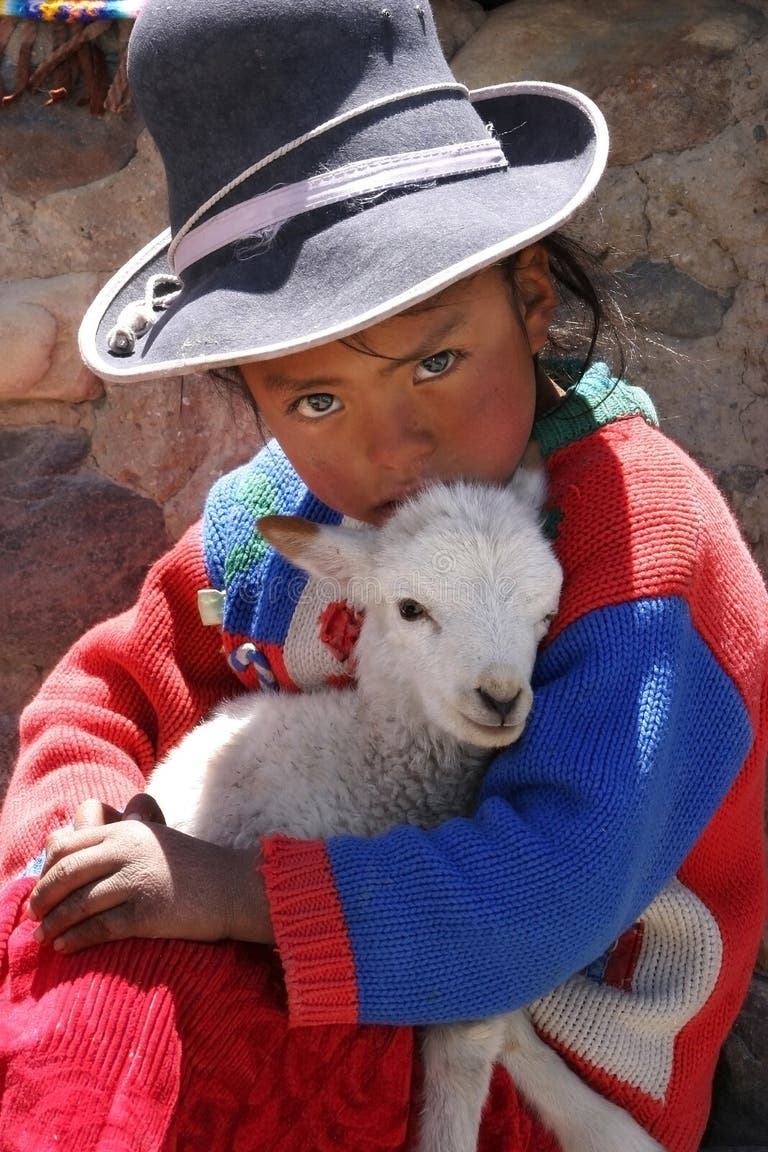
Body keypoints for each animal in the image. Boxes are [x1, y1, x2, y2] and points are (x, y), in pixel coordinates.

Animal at [147, 472, 662, 1152]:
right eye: (410, 609)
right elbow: (470, 1047)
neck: (380, 768)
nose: (501, 697)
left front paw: (604, 1126)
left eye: (547, 616)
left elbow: (485, 1029)